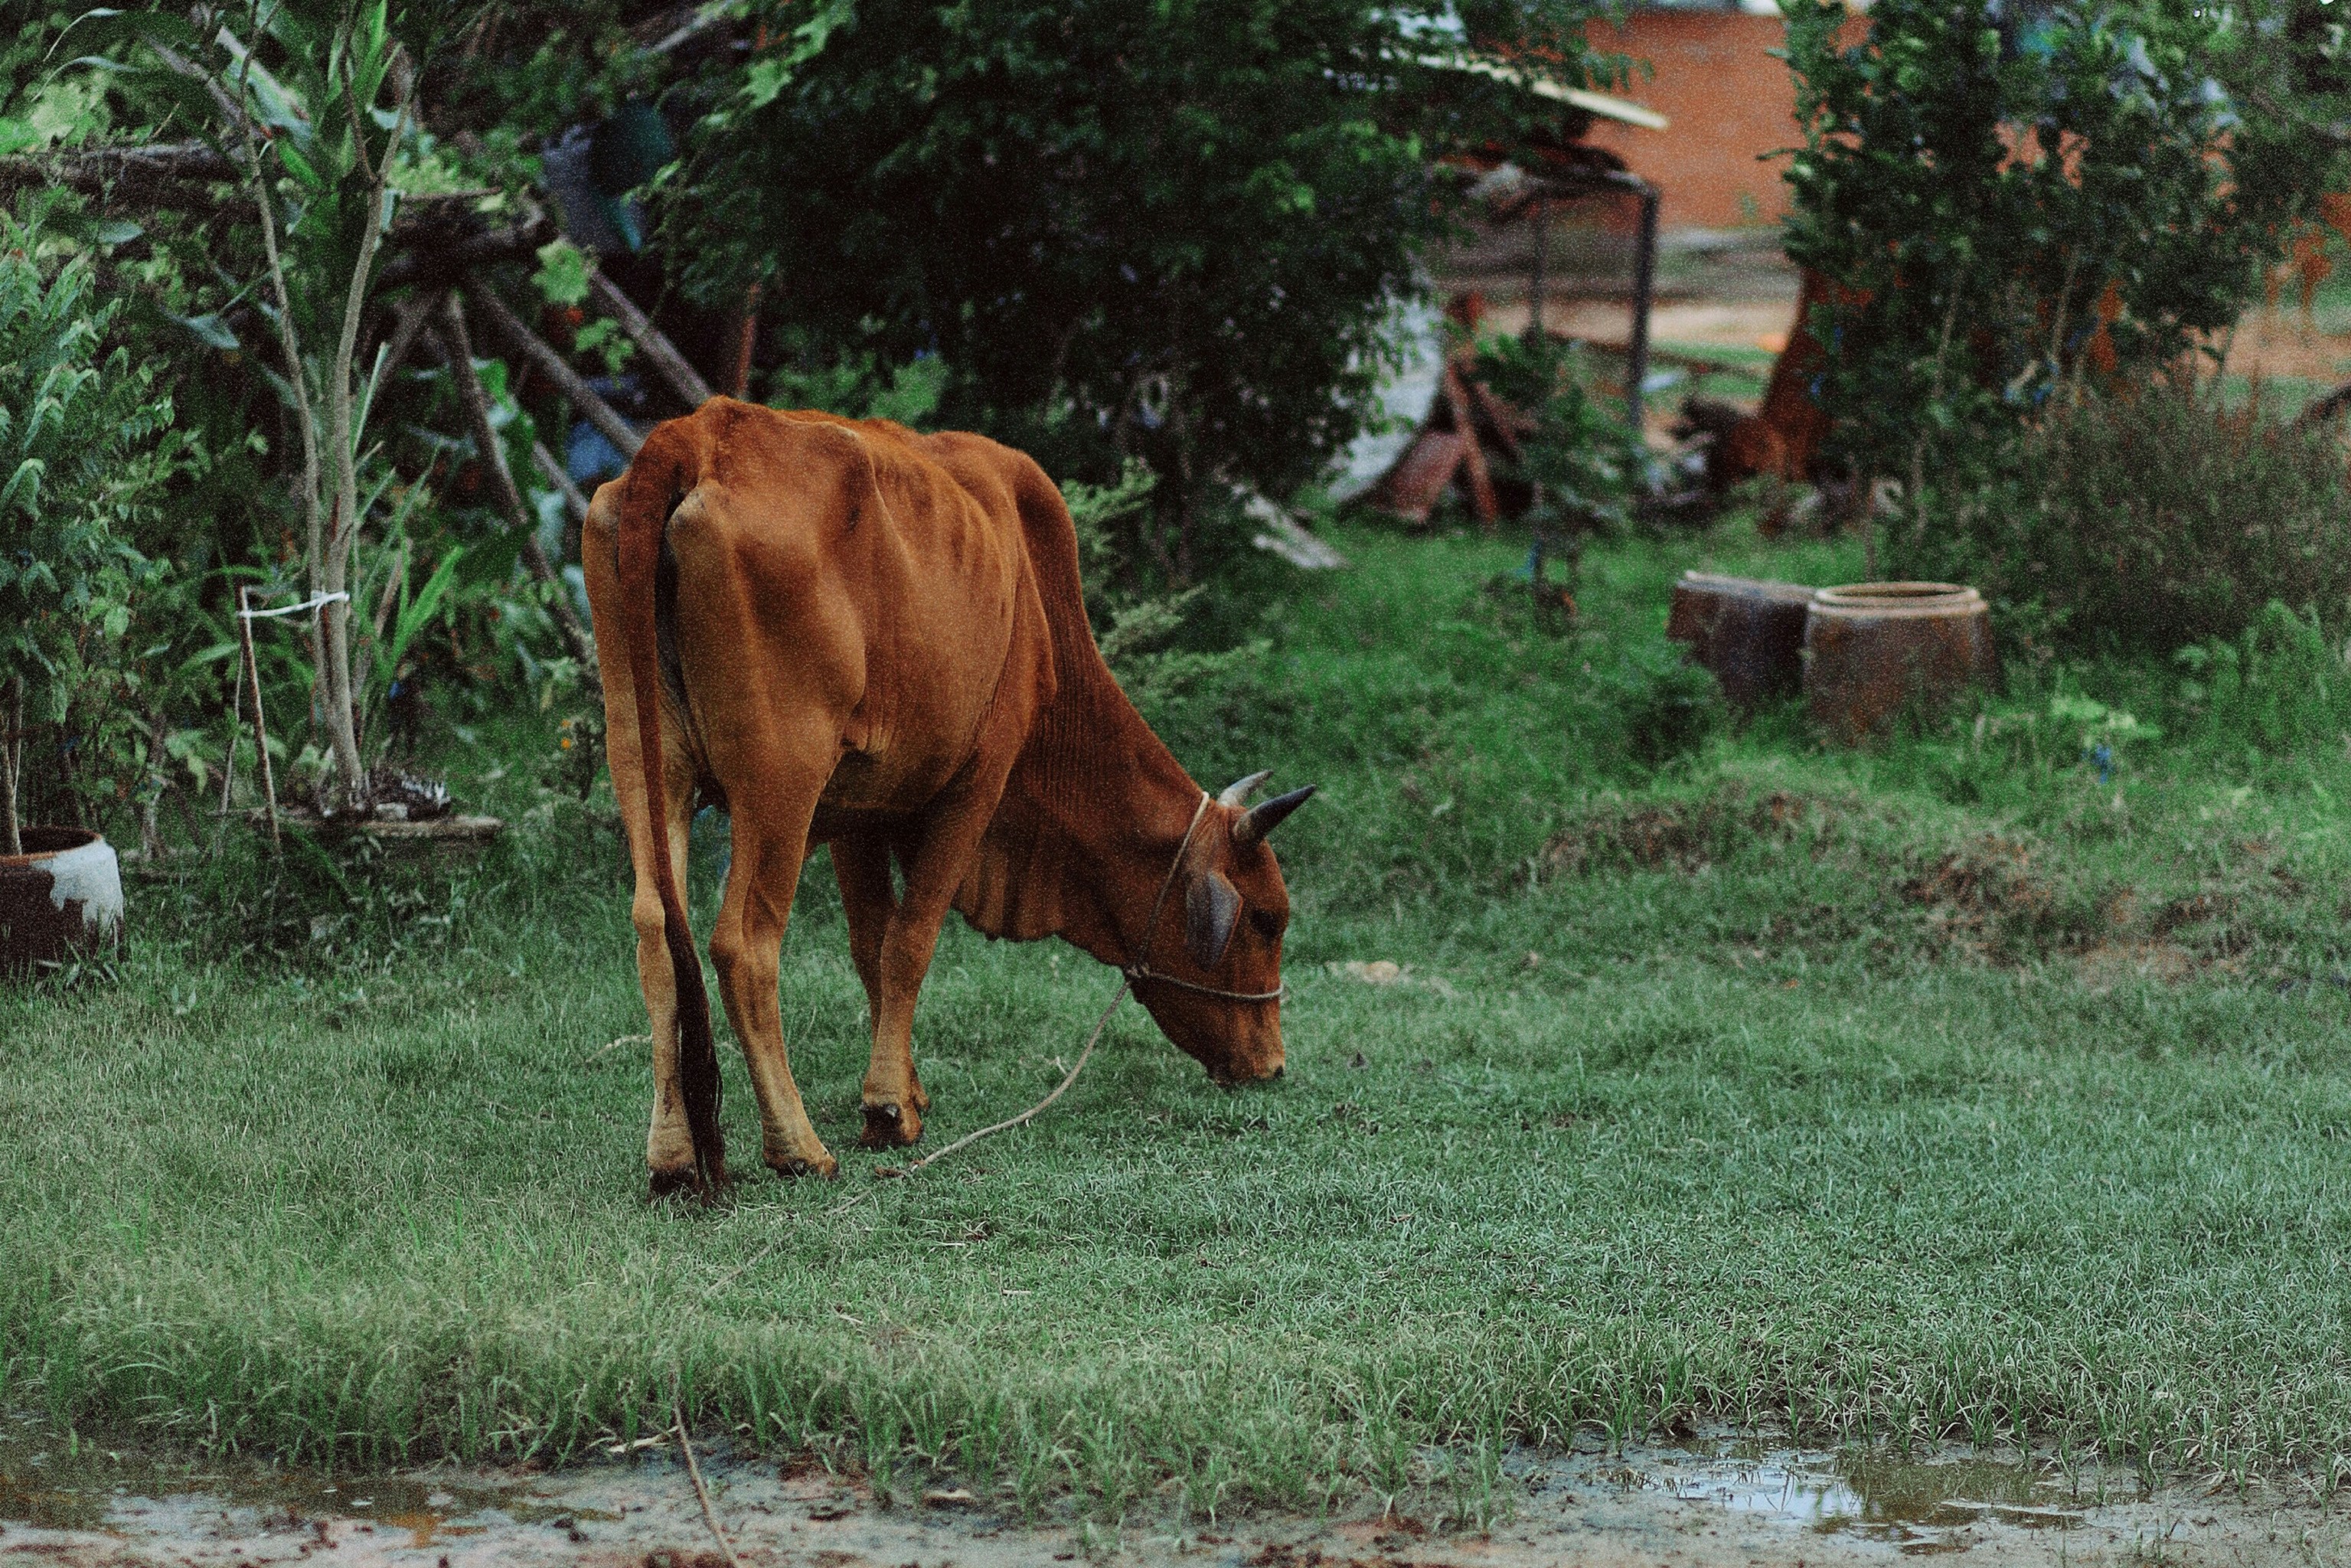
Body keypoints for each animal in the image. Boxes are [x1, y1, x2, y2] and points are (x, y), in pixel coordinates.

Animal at [582, 400, 1313, 1191]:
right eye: (1266, 921)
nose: (1272, 1064)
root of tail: (695, 436)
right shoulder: (978, 782)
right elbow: (910, 942)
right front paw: (887, 1111)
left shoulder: (860, 811)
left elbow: (871, 945)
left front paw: (903, 1085)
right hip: (780, 782)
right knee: (742, 946)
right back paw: (797, 1145)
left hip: (644, 759)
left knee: (655, 928)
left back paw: (673, 1157)